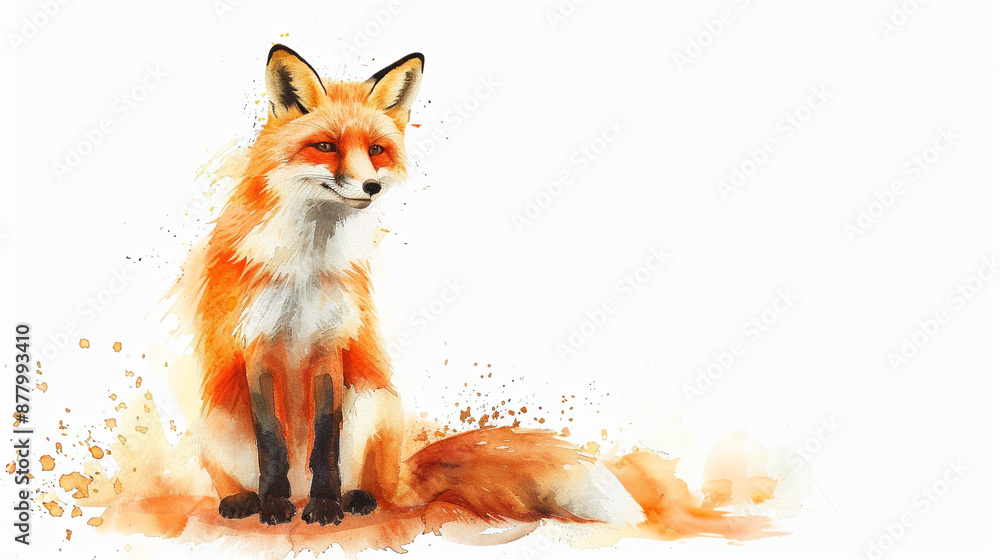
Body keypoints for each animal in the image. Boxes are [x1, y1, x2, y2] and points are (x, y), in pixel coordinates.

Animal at [181, 44, 647, 529]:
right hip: (218, 419)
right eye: (325, 146)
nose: (370, 185)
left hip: (373, 401)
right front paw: (274, 504)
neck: (305, 266)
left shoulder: (332, 344)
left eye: (376, 150)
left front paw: (325, 505)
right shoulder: (256, 344)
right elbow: (271, 443)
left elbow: (325, 443)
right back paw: (245, 500)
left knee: (377, 489)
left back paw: (353, 498)